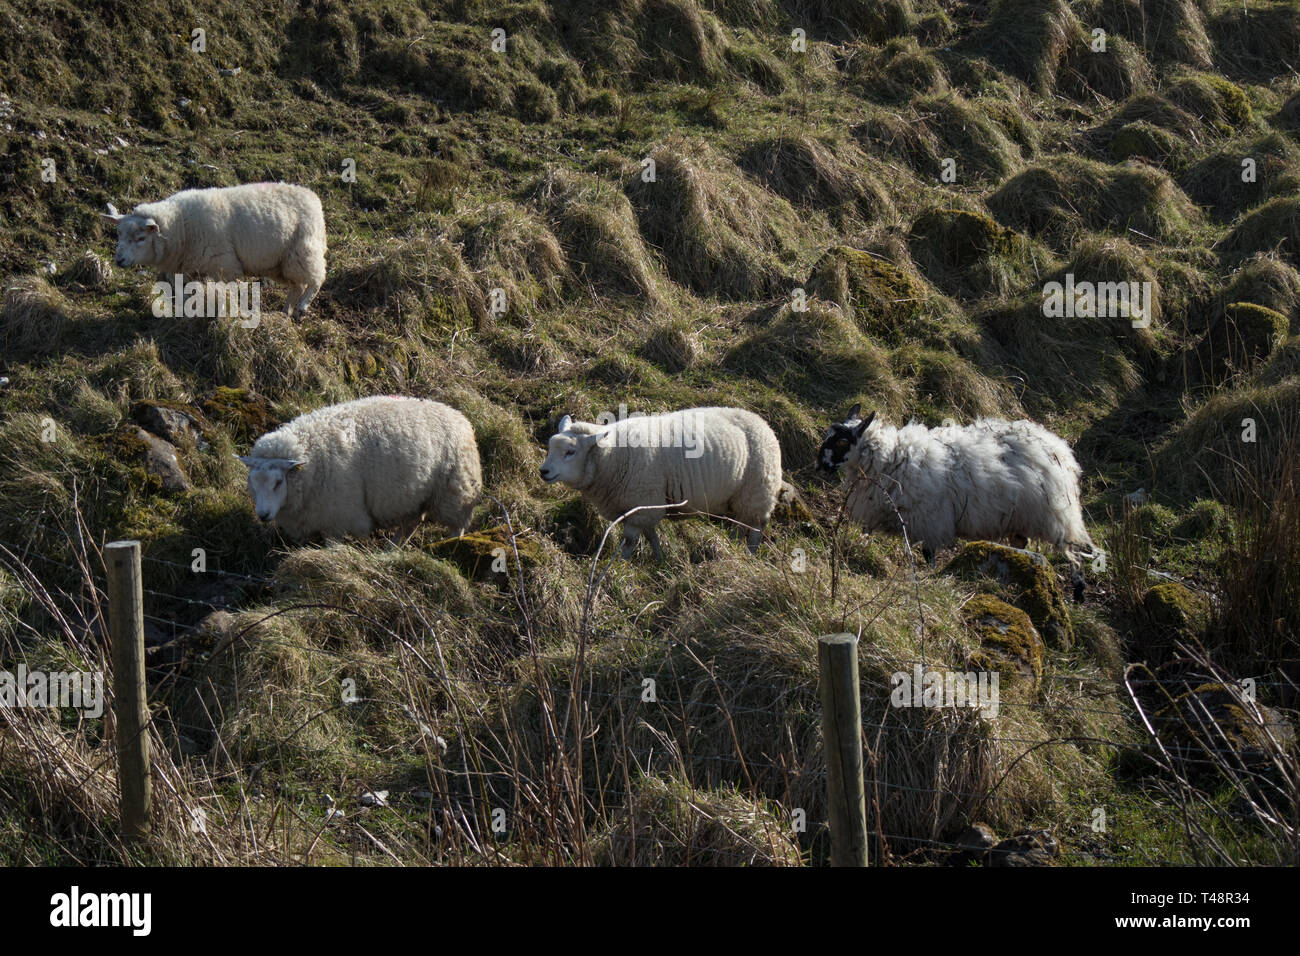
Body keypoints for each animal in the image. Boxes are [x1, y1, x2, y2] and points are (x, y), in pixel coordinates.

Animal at [101, 182, 326, 318]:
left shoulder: (224, 264)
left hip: (303, 251)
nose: (119, 260)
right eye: (118, 234)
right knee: (297, 286)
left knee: (316, 279)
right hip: (281, 264)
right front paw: (186, 311)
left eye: (141, 238)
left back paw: (302, 307)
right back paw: (286, 311)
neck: (181, 227)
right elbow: (183, 293)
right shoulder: (181, 269)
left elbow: (231, 291)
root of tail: (312, 196)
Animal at [237, 396, 481, 541]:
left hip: (455, 490)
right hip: (413, 499)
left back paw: (448, 544)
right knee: (409, 525)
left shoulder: (341, 517)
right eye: (253, 482)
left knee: (456, 526)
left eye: (278, 482)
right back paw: (391, 550)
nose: (263, 515)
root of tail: (459, 416)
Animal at [540, 406, 783, 559]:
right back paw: (732, 548)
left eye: (571, 452)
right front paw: (659, 559)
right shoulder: (645, 507)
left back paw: (749, 554)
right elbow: (652, 536)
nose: (544, 471)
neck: (613, 456)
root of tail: (763, 423)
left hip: (758, 492)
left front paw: (620, 563)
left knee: (755, 528)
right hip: (738, 499)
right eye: (550, 446)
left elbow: (629, 541)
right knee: (739, 526)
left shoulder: (641, 504)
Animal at [818, 403, 1097, 597]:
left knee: (1074, 551)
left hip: (1055, 514)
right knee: (1024, 544)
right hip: (1021, 519)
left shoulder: (930, 520)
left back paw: (1079, 592)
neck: (891, 459)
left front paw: (928, 578)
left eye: (842, 441)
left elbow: (928, 554)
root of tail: (1057, 447)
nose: (819, 464)